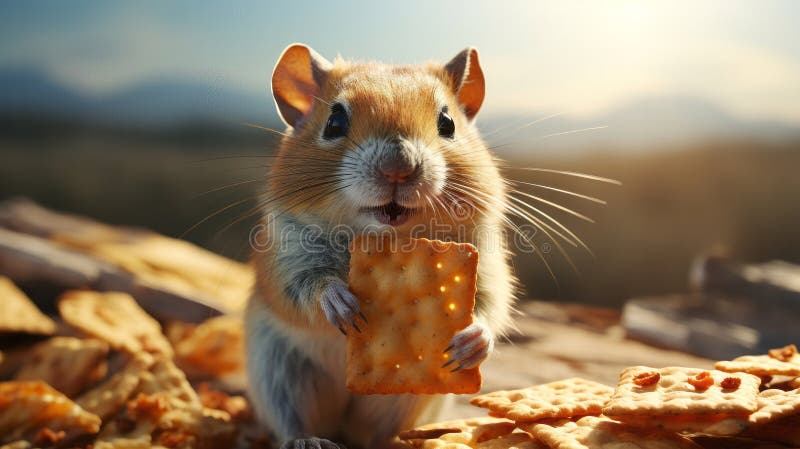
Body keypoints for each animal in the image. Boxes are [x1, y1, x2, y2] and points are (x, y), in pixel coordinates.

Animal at [245, 43, 517, 449]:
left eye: (448, 124)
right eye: (334, 122)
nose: (398, 168)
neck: (388, 237)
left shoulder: (484, 260)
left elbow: (490, 304)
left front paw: (472, 341)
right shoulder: (286, 257)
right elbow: (309, 287)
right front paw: (341, 304)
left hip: (407, 395)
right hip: (279, 369)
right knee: (291, 423)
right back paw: (309, 441)